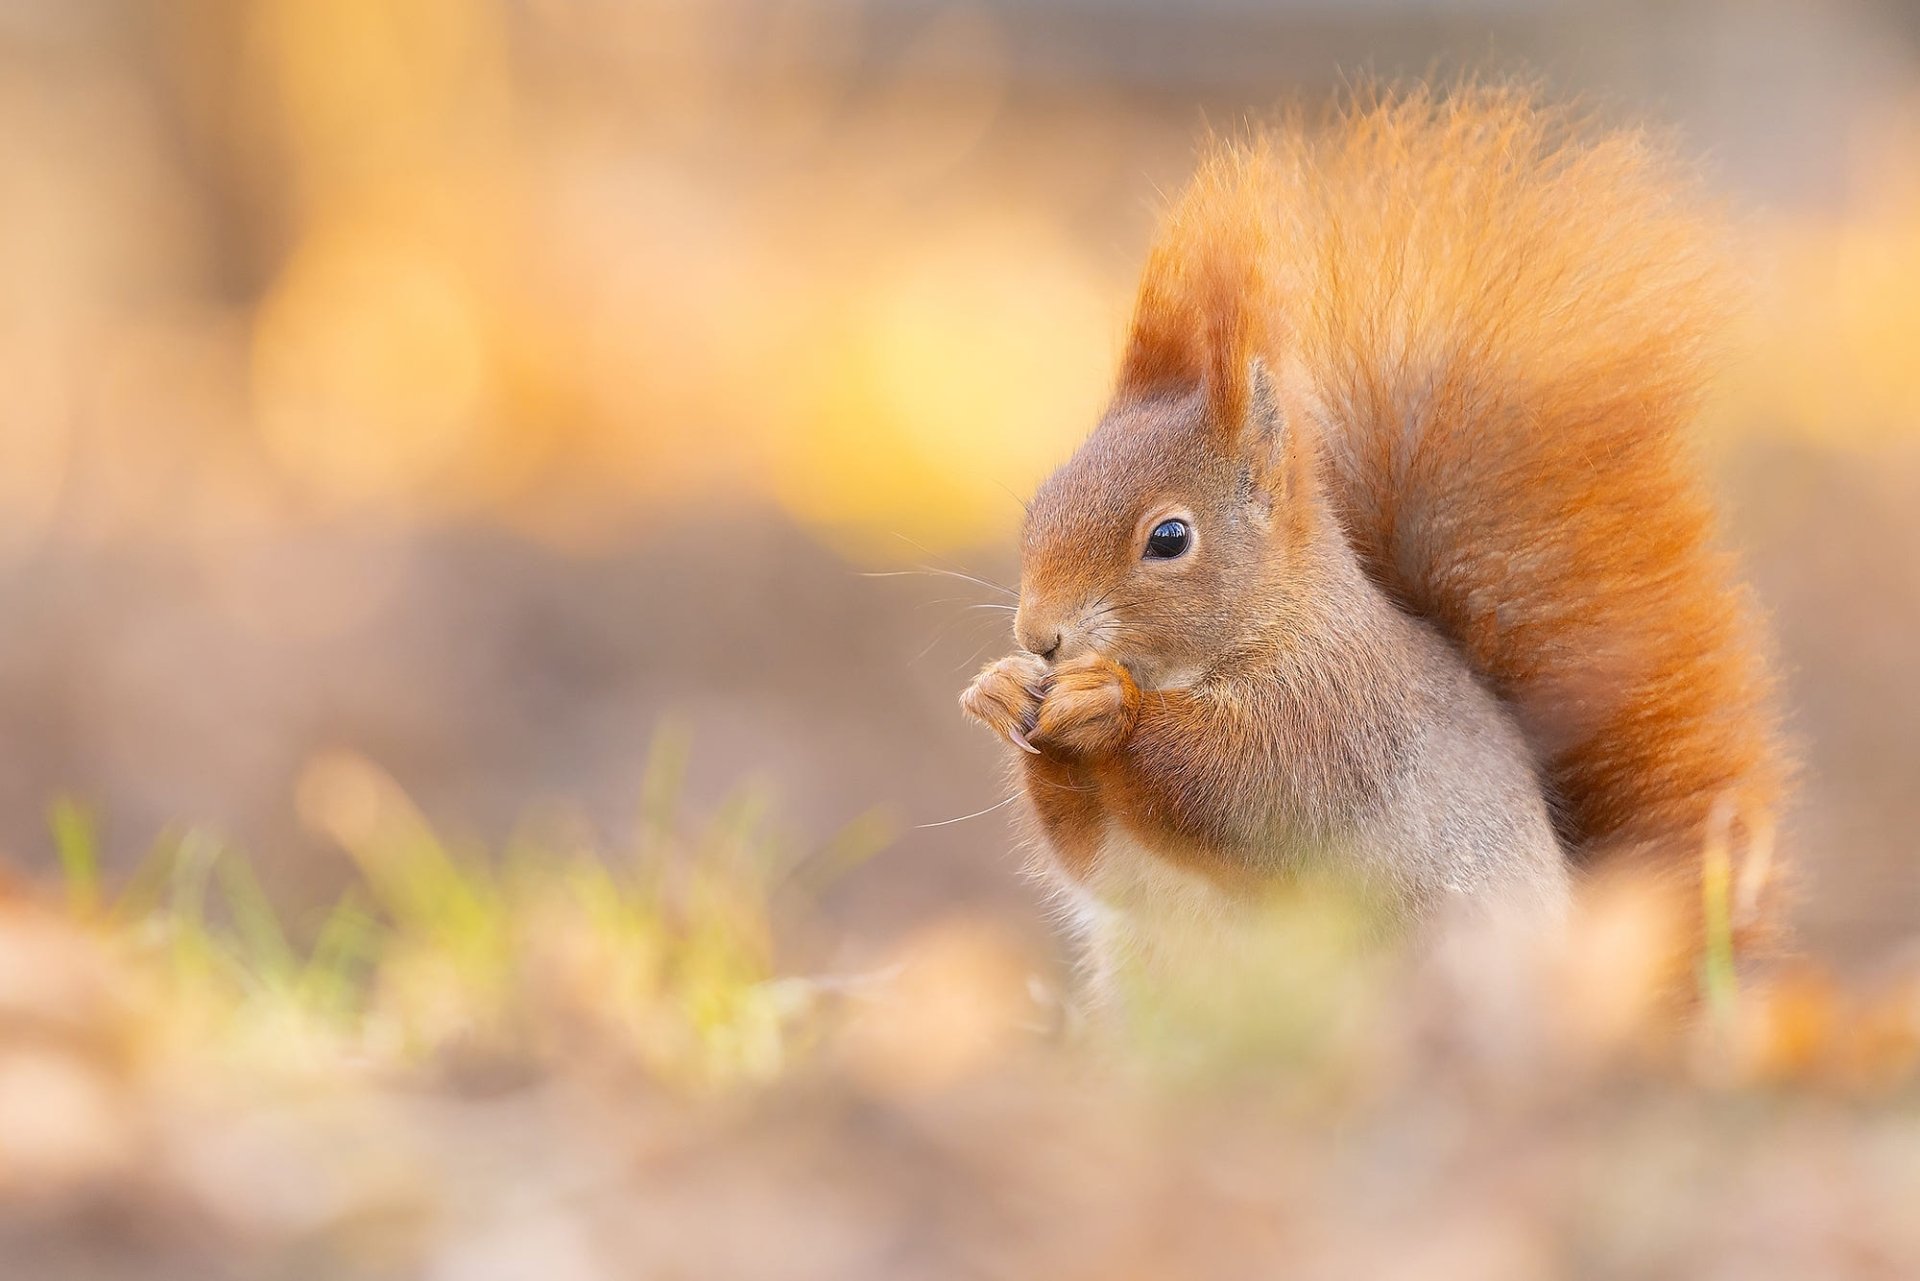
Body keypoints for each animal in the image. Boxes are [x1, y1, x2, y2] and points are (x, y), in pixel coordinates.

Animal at [959, 86, 1787, 991]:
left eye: (1170, 537)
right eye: (1039, 505)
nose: (1040, 636)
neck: (1272, 629)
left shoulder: (1338, 723)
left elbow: (1239, 789)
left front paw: (1108, 703)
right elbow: (1092, 855)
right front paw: (1002, 689)